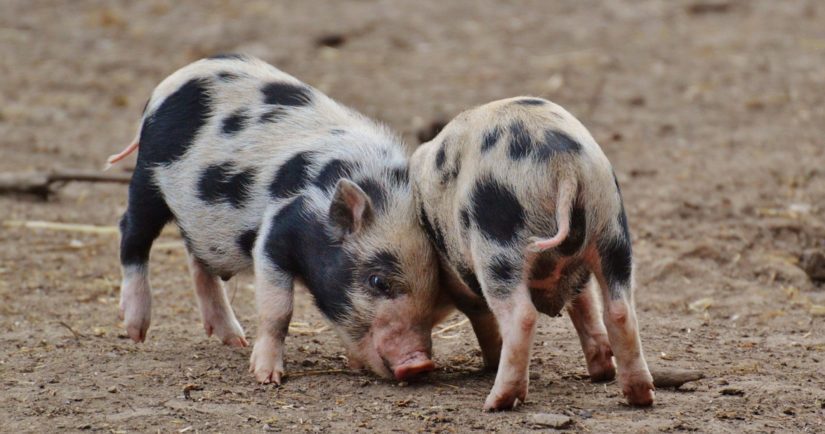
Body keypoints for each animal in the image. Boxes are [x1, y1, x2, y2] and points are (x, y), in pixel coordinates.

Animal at [108, 54, 449, 384]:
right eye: (378, 281)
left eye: (437, 292)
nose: (419, 364)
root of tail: (168, 84)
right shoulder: (275, 234)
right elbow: (279, 311)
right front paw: (267, 378)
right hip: (148, 177)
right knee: (132, 234)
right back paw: (136, 331)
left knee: (197, 258)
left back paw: (235, 340)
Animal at [410, 97, 654, 410]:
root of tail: (562, 164)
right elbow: (584, 301)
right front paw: (602, 370)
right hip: (611, 226)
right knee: (620, 309)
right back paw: (636, 393)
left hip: (497, 240)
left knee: (521, 316)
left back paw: (496, 402)